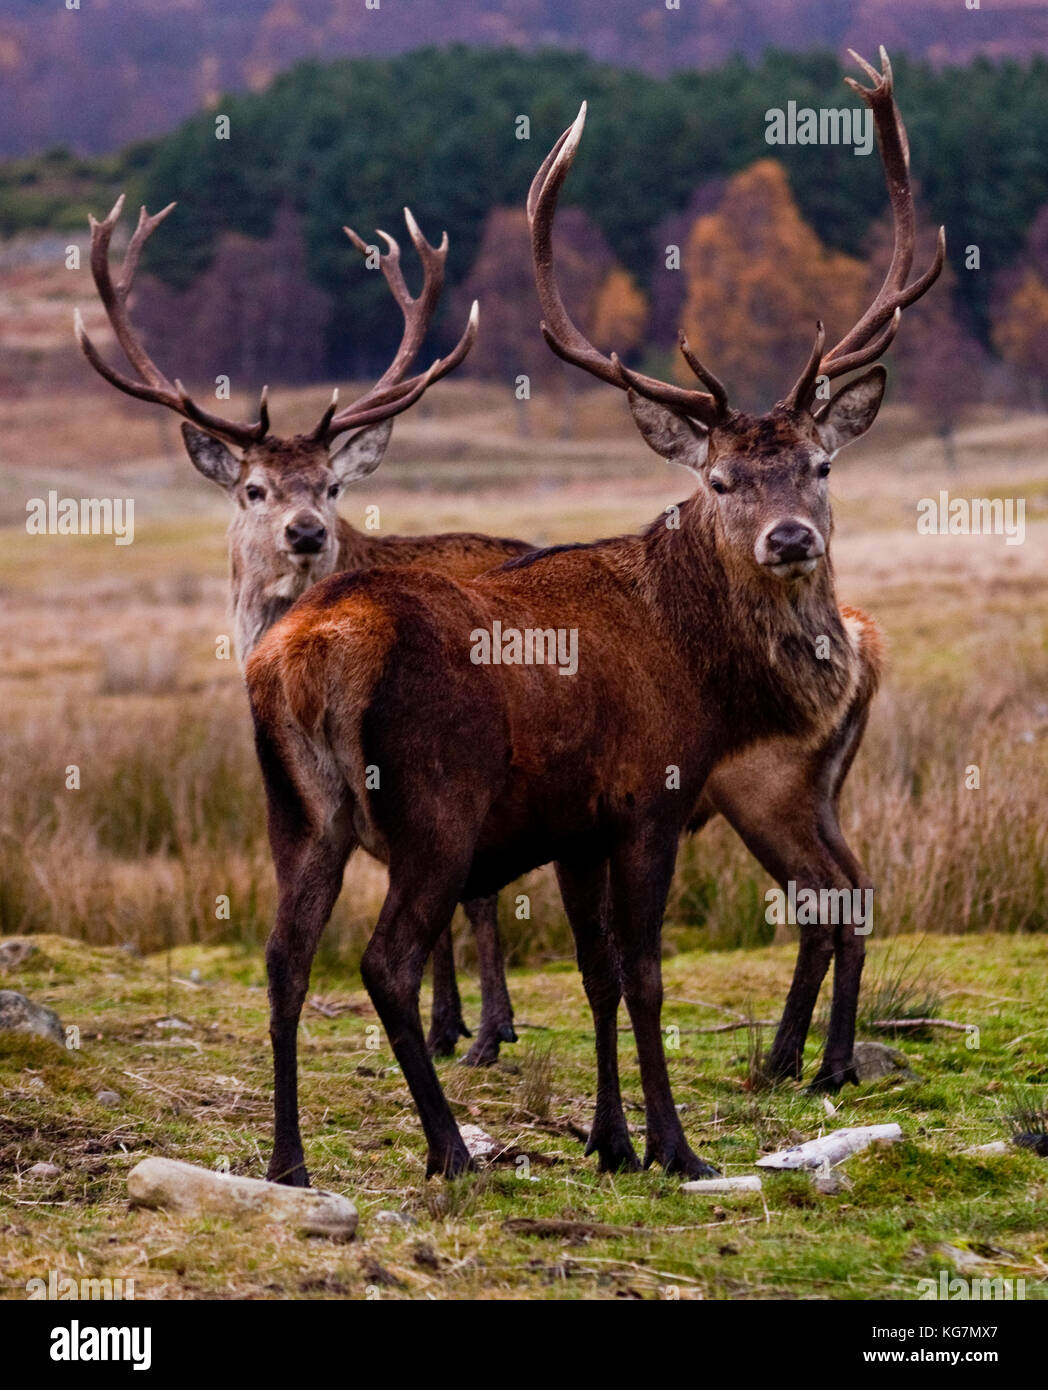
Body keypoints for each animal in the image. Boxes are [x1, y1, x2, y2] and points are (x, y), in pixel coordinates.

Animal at [244, 48, 943, 1183]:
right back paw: (450, 1148)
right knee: (385, 960)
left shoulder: (573, 824)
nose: (790, 539)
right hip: (437, 803)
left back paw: (288, 1163)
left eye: (822, 464)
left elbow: (597, 975)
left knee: (282, 959)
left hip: (297, 811)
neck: (694, 662)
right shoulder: (647, 793)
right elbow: (645, 972)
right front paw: (675, 1145)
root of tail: (305, 657)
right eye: (719, 478)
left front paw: (610, 1141)